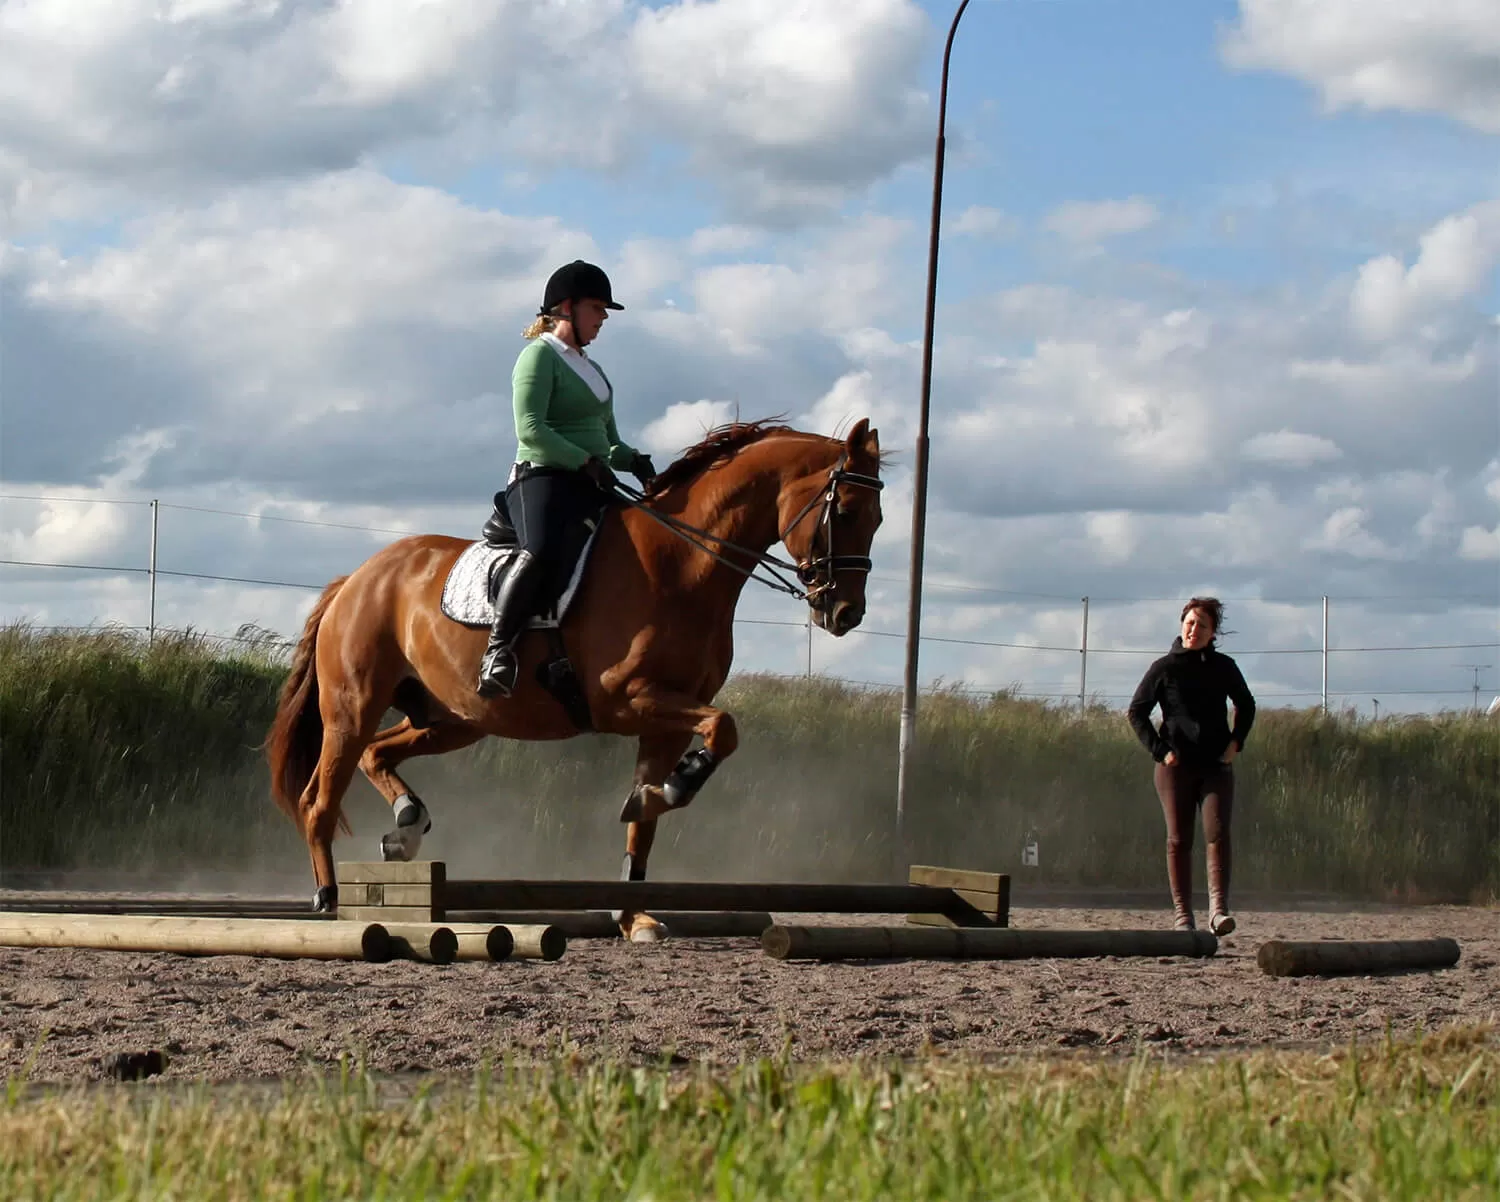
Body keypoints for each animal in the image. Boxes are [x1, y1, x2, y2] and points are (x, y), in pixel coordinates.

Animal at [267, 420, 876, 936]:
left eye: (878, 520)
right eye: (845, 511)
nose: (845, 613)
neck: (681, 563)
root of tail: (356, 579)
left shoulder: (666, 720)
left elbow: (646, 822)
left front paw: (636, 909)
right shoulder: (625, 700)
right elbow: (724, 728)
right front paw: (677, 784)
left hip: (455, 719)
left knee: (378, 754)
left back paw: (406, 826)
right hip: (352, 707)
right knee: (320, 799)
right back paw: (328, 896)